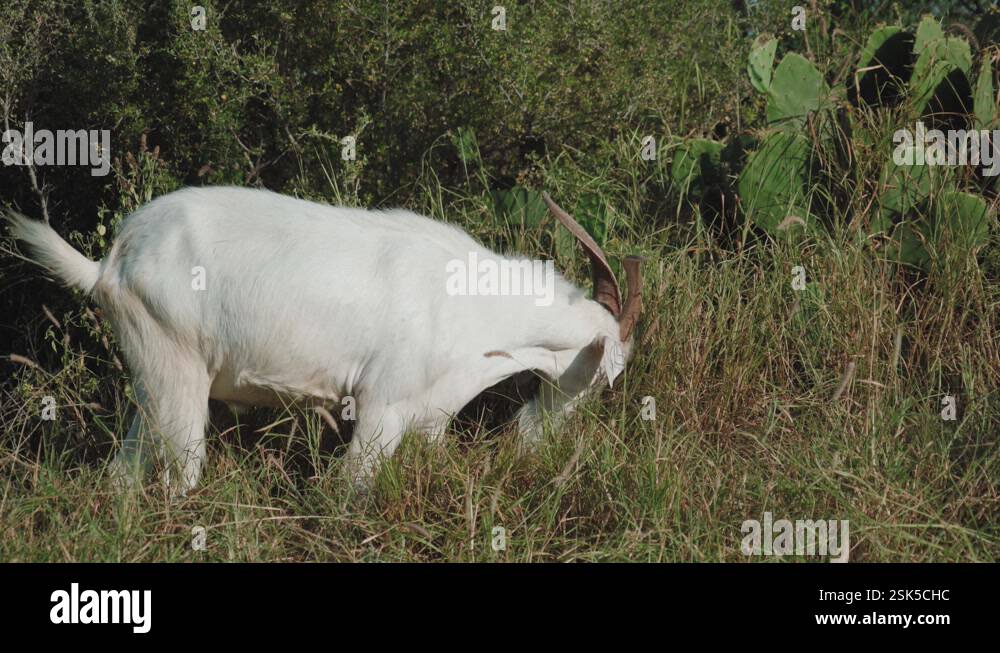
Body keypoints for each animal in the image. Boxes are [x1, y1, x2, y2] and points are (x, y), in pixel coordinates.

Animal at [6, 187, 642, 495]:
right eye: (607, 375)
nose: (538, 440)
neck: (472, 302)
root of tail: (112, 261)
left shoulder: (430, 416)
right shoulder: (381, 408)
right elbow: (349, 490)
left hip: (153, 380)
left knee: (123, 473)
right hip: (178, 372)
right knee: (180, 476)